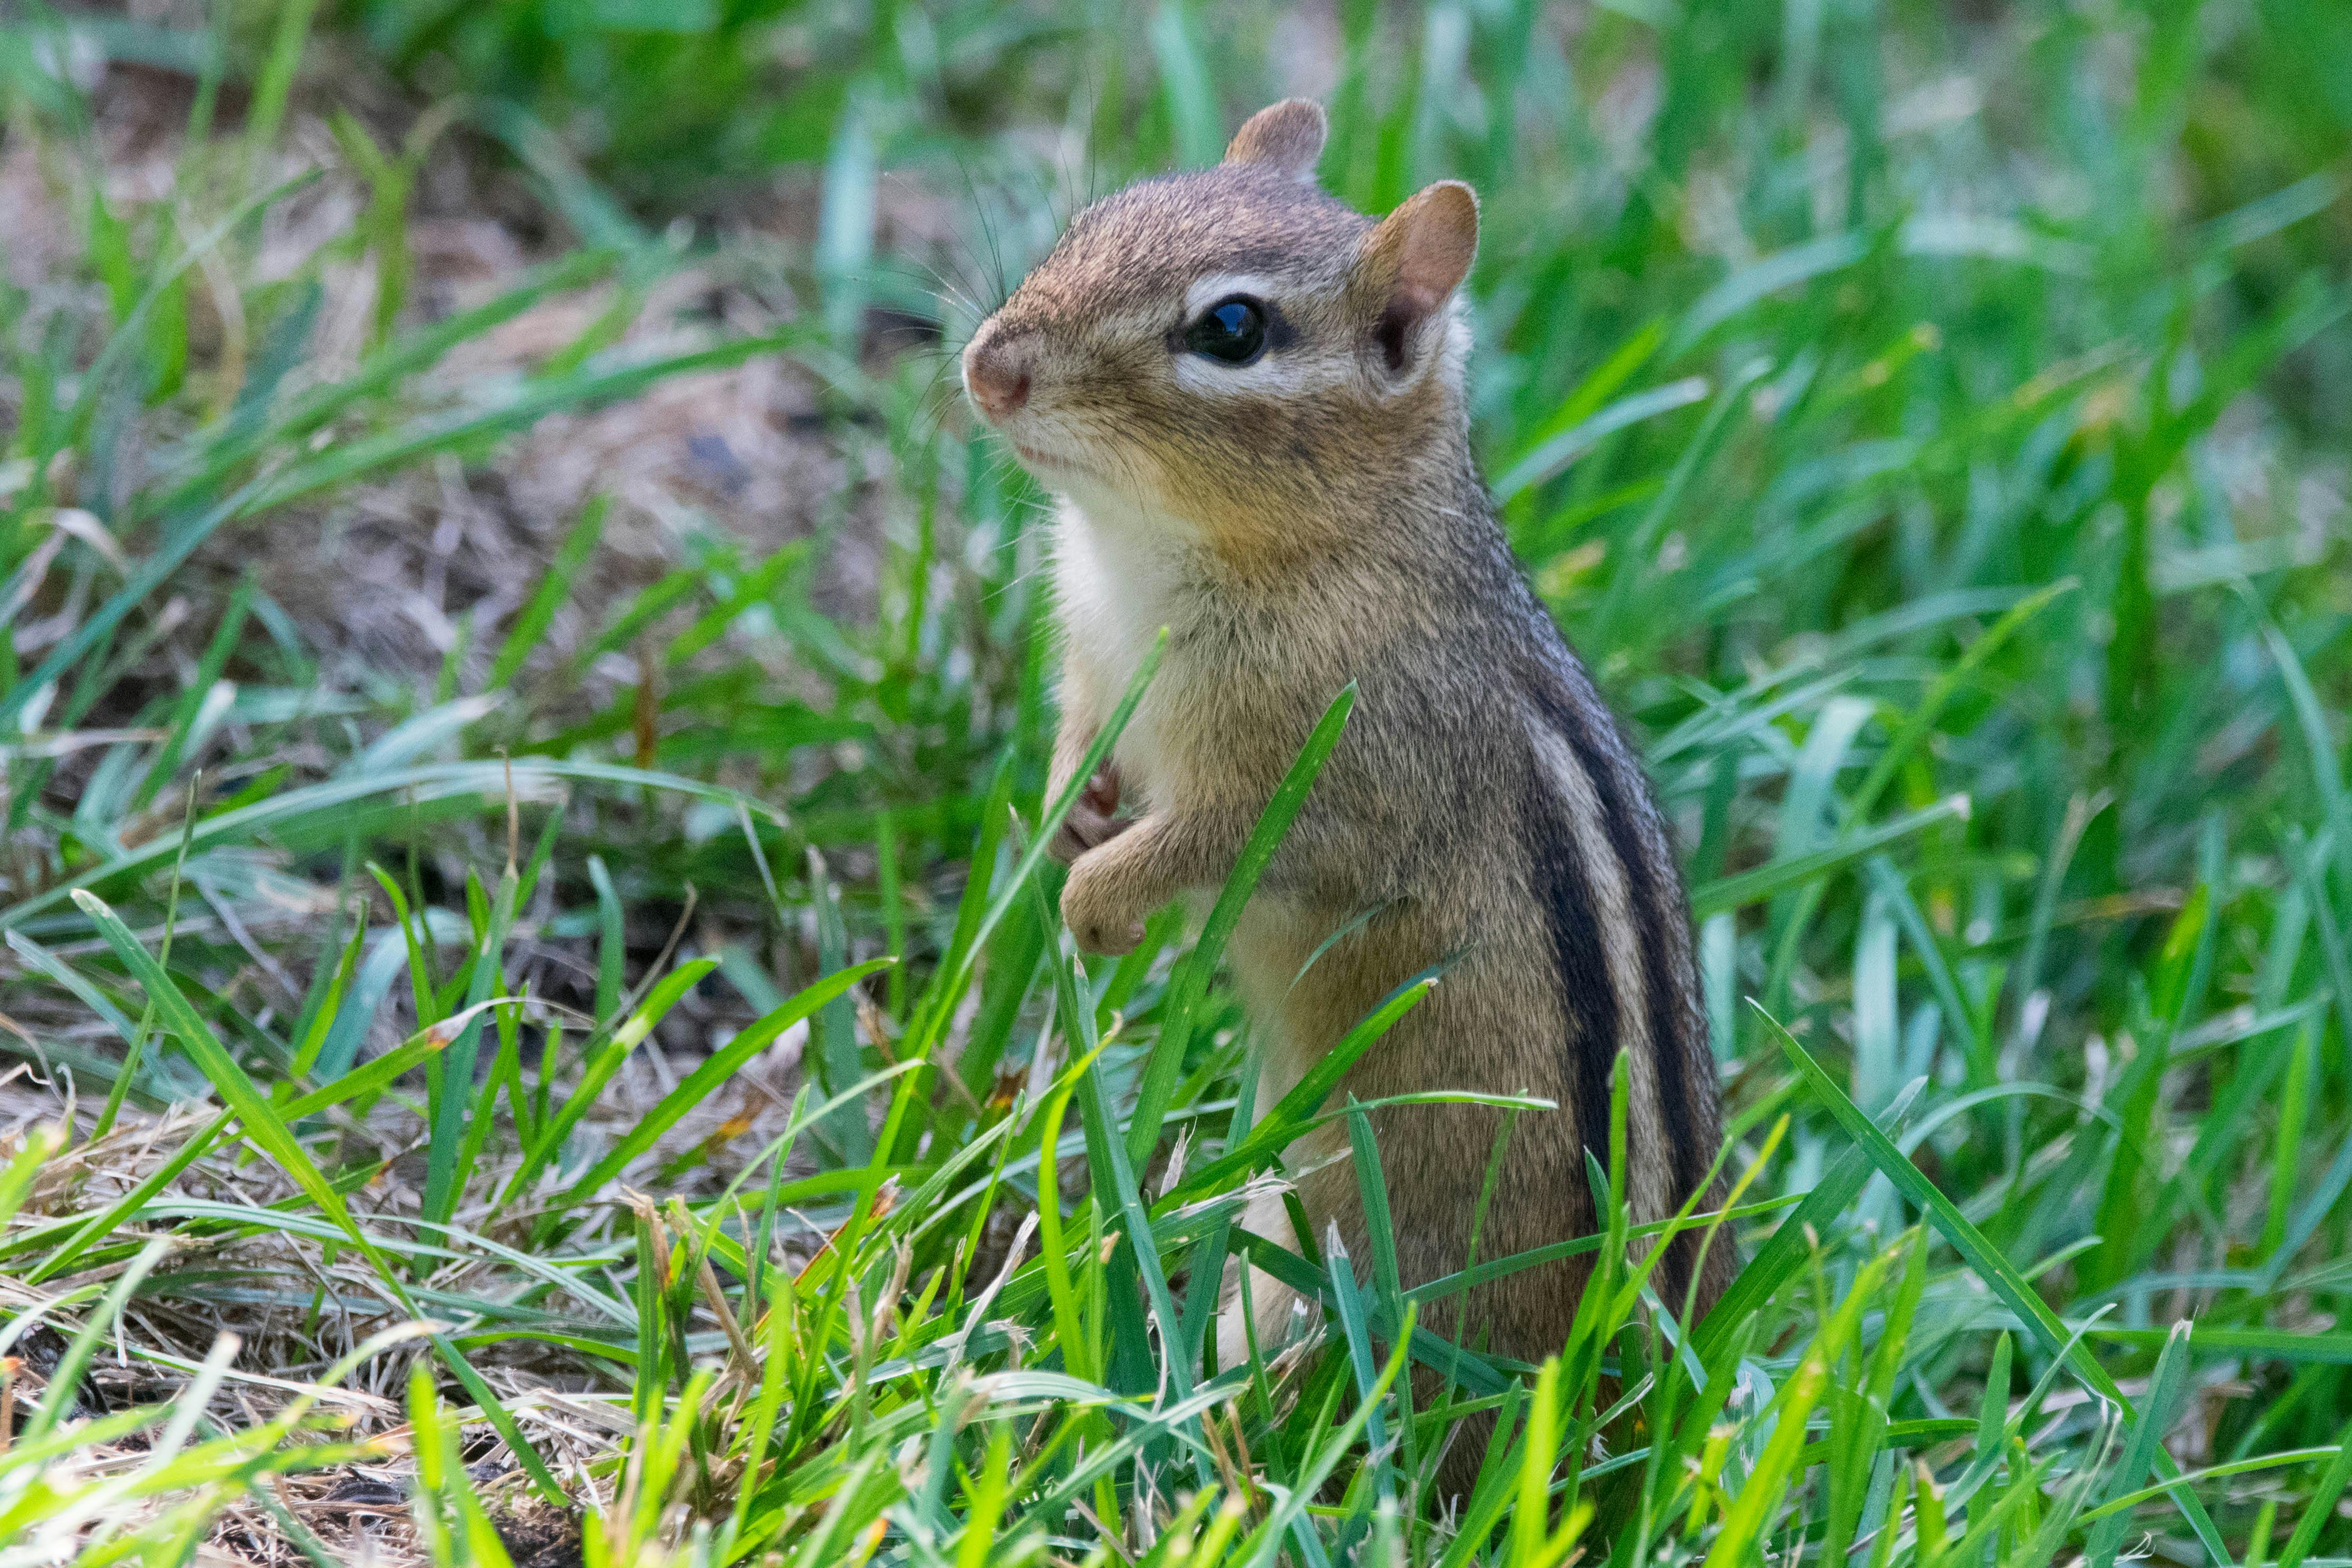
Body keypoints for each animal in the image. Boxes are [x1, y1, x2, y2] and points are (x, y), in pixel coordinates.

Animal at [962, 98, 1733, 1439]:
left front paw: (1097, 904)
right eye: (1091, 219)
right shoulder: (1101, 672)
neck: (1147, 550)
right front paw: (1071, 819)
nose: (986, 367)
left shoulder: (1341, 784)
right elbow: (1084, 747)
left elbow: (1229, 840)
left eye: (1231, 328)